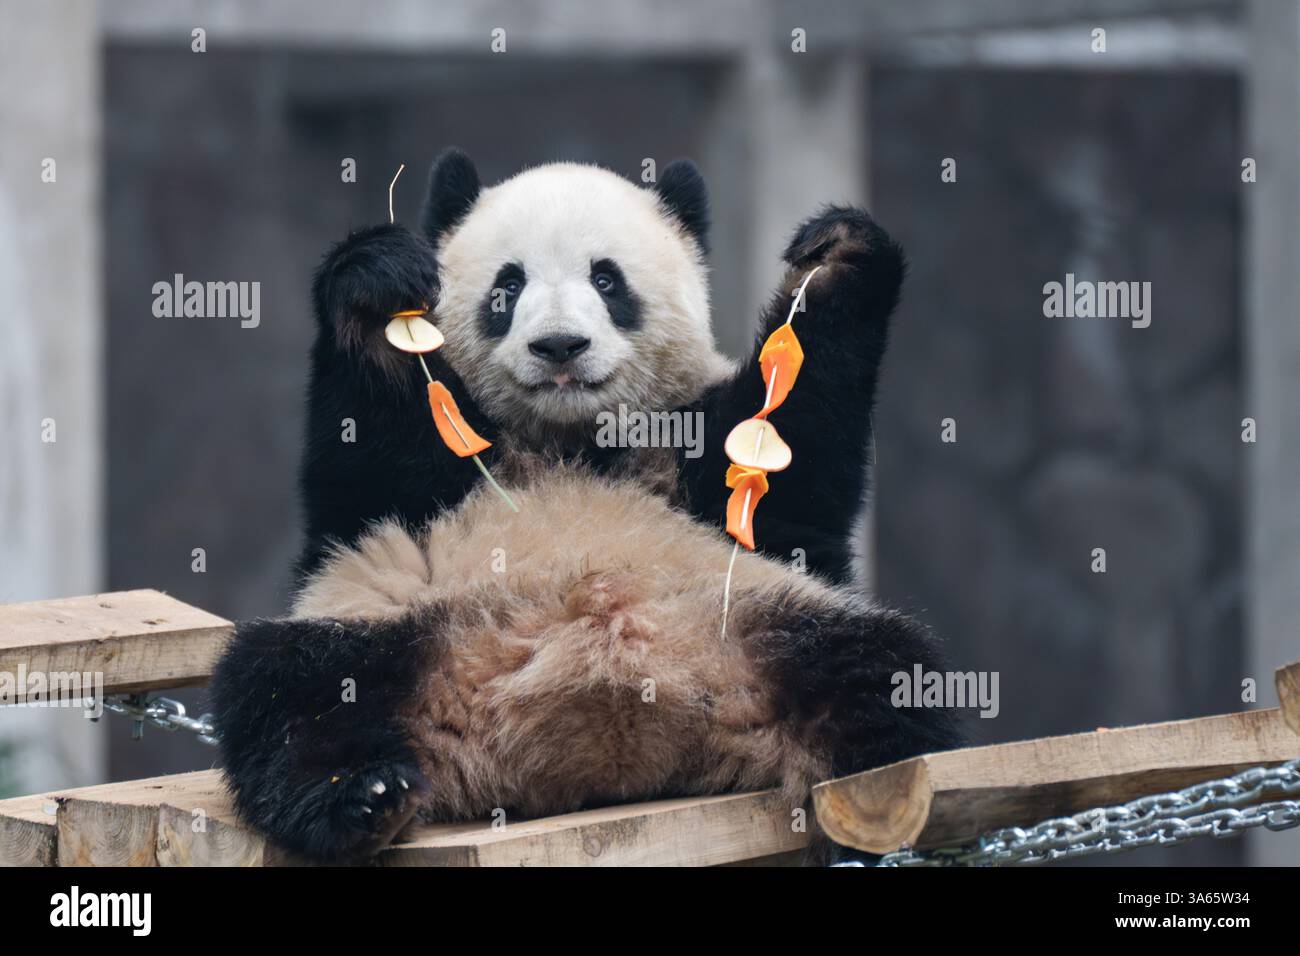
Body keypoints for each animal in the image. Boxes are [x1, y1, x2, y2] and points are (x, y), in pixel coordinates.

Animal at [209, 149, 962, 863]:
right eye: (507, 286)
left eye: (607, 280)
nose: (560, 346)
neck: (574, 439)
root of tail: (594, 749)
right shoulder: (423, 491)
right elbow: (365, 478)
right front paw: (376, 285)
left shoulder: (696, 449)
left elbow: (798, 476)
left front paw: (837, 256)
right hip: (387, 621)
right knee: (288, 689)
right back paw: (362, 796)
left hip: (761, 618)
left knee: (890, 683)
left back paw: (878, 805)